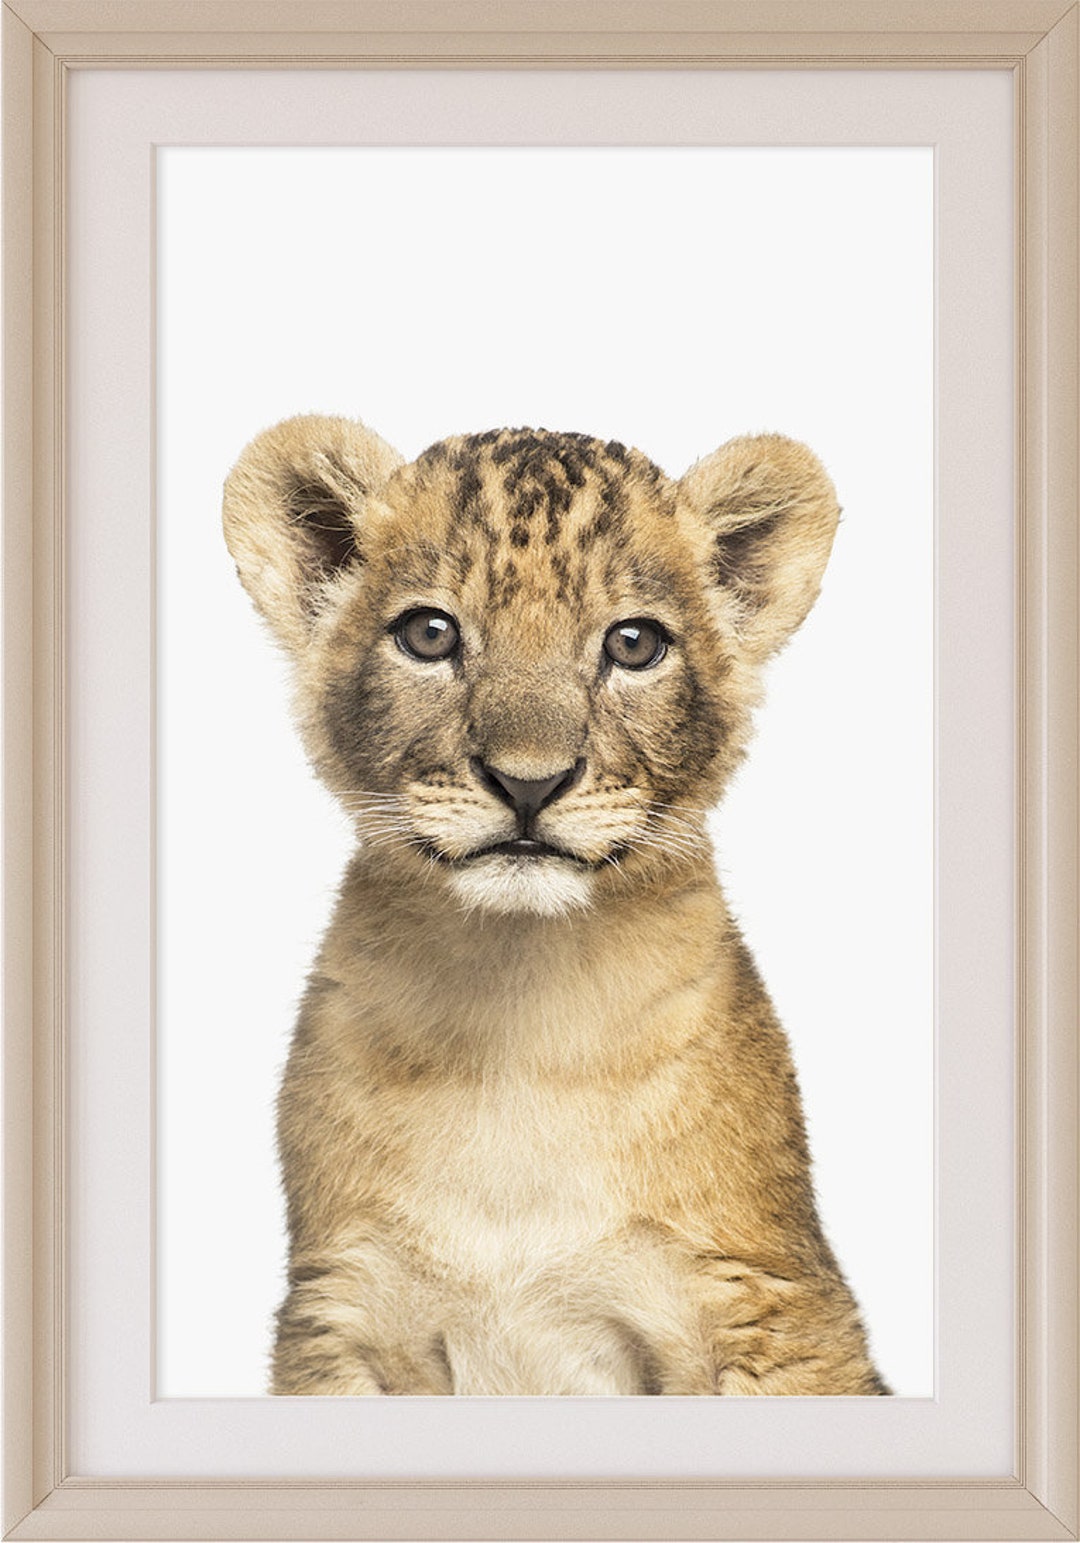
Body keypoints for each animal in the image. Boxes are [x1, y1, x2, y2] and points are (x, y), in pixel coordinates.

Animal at [222, 416, 887, 1396]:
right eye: (429, 634)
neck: (516, 1016)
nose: (528, 783)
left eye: (635, 645)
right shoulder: (337, 1309)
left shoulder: (776, 1305)